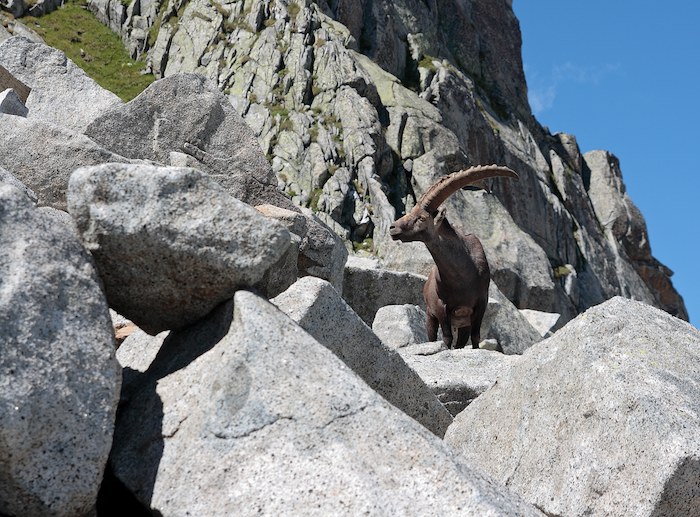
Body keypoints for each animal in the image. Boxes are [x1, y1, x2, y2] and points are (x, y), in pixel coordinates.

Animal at [389, 165, 518, 349]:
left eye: (421, 218)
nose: (393, 227)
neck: (463, 278)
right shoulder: (441, 306)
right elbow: (447, 337)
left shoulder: (481, 303)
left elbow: (476, 337)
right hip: (430, 315)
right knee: (433, 337)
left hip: (463, 323)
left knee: (461, 341)